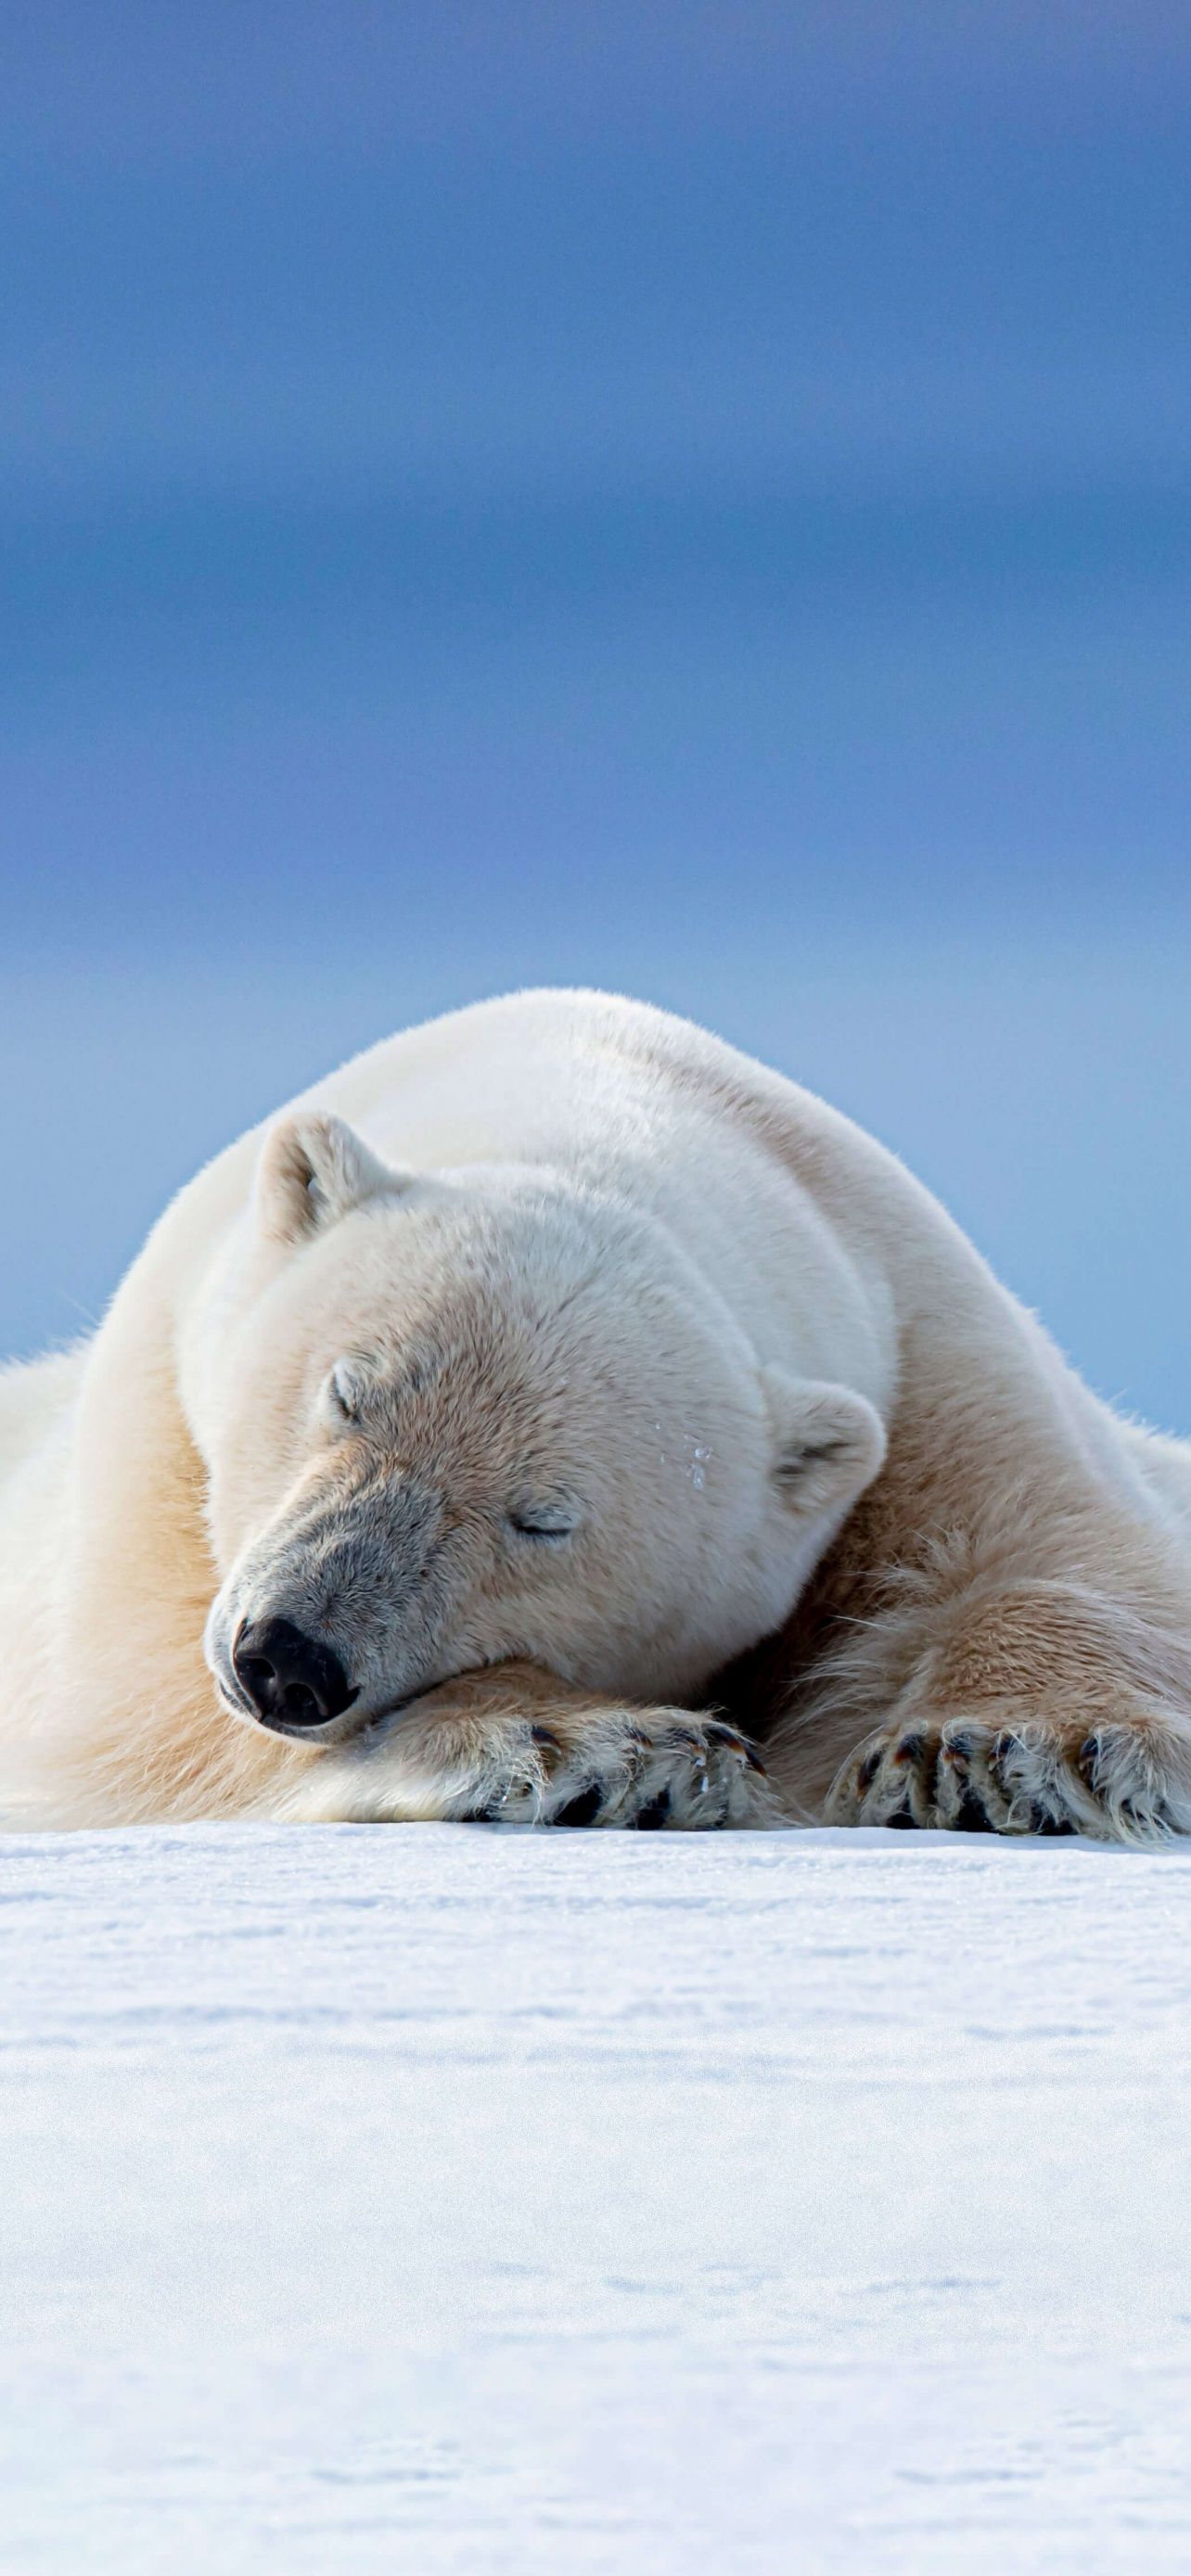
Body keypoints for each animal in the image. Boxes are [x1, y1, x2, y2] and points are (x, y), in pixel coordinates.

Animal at [3, 986, 1191, 1844]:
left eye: (542, 1520)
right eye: (348, 1393)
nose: (290, 1659)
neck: (611, 1098)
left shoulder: (930, 1342)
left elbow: (1071, 1551)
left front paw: (1011, 1750)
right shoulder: (156, 1434)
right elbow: (135, 1710)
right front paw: (609, 1748)